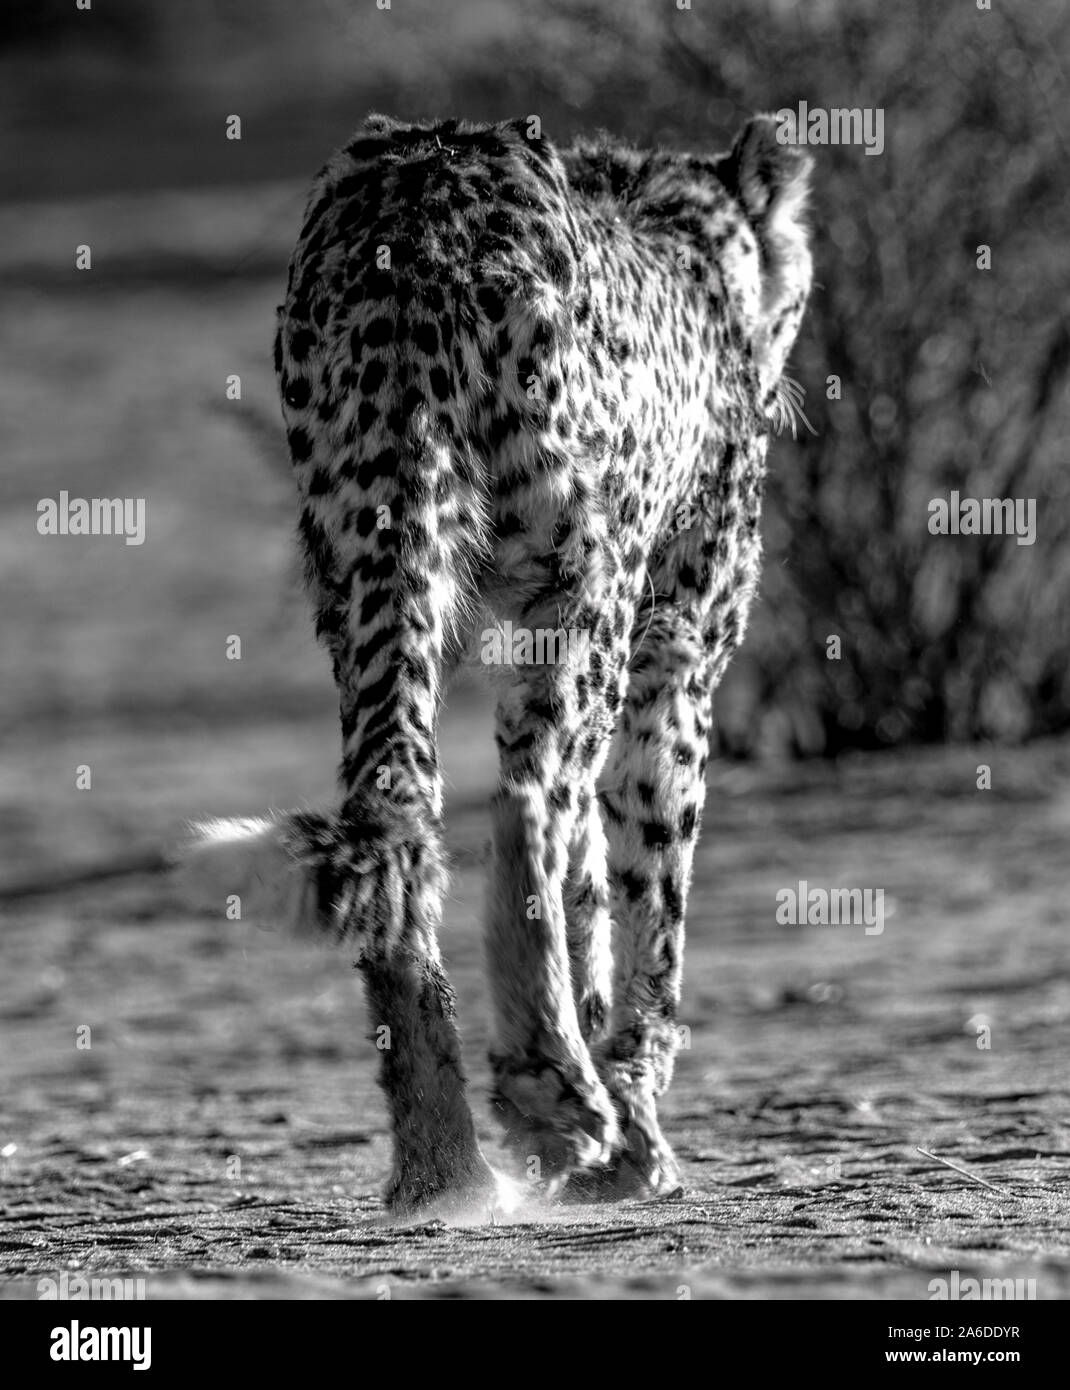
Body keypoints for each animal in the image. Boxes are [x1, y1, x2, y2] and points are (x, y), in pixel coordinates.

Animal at [183, 112, 814, 1217]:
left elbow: (589, 891)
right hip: (583, 585)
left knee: (402, 808)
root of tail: (420, 191)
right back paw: (546, 1094)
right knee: (523, 805)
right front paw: (633, 1129)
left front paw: (611, 1134)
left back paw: (445, 1163)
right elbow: (645, 904)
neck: (679, 232)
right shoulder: (675, 657)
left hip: (366, 578)